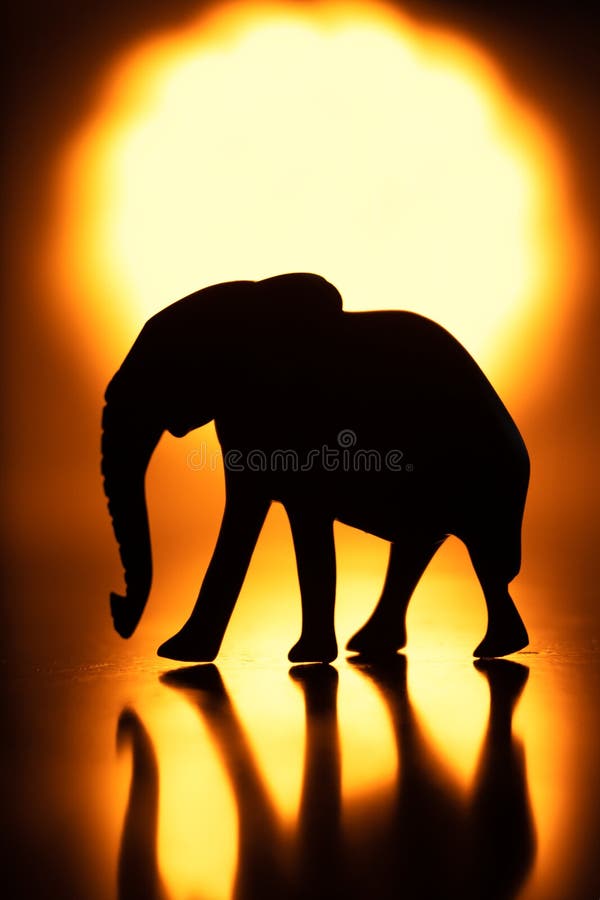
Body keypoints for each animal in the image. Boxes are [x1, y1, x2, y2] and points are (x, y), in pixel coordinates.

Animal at [101, 272, 530, 663]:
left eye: (161, 370)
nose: (117, 610)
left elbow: (296, 526)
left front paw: (303, 658)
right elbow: (253, 513)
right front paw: (183, 653)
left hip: (488, 480)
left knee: (486, 562)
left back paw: (493, 650)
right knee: (417, 551)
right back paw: (372, 646)